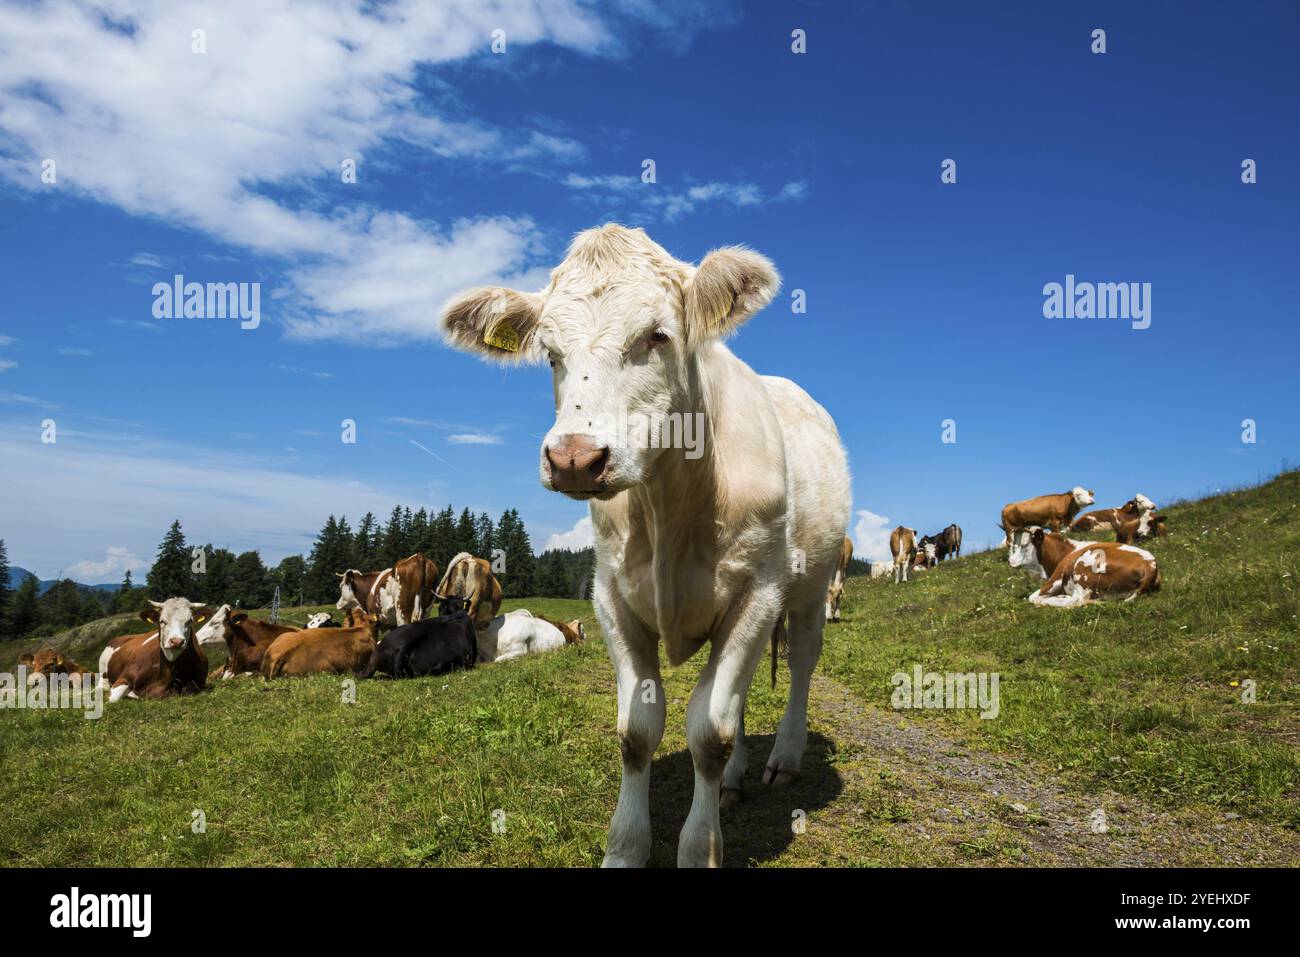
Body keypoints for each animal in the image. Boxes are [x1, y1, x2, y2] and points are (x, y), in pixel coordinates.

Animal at [438, 223, 852, 867]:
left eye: (657, 335)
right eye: (550, 353)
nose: (575, 459)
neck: (669, 509)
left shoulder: (757, 594)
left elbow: (708, 732)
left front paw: (699, 847)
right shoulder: (612, 597)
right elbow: (638, 732)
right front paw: (626, 845)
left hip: (811, 583)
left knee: (803, 661)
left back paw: (784, 756)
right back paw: (734, 780)